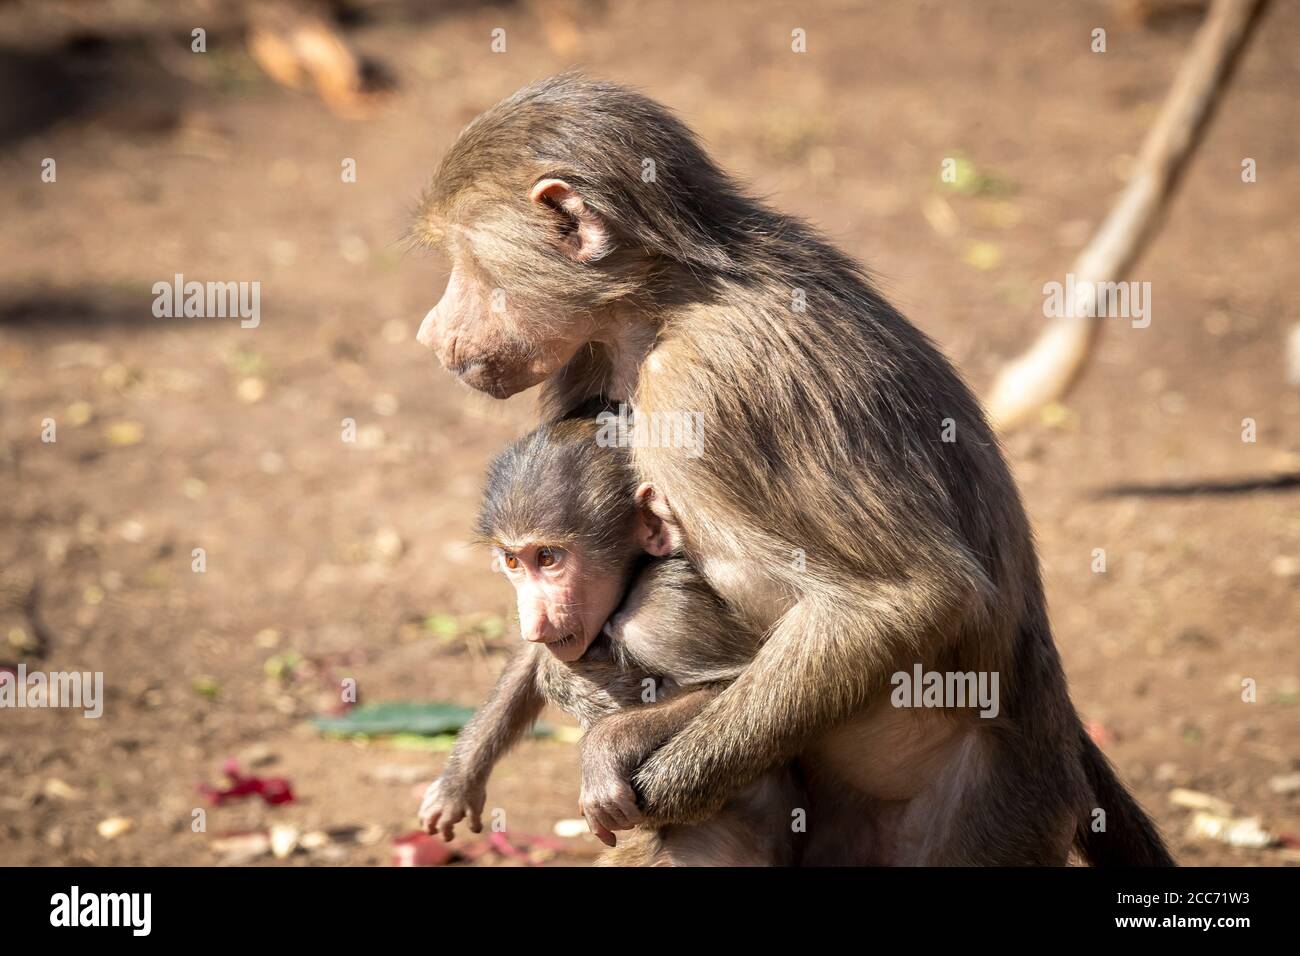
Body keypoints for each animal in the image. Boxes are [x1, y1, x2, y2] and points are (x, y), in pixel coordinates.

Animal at [418, 411, 805, 866]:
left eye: (547, 557)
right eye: (512, 561)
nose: (532, 621)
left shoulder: (662, 617)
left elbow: (738, 689)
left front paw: (605, 747)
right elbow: (536, 657)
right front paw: (458, 780)